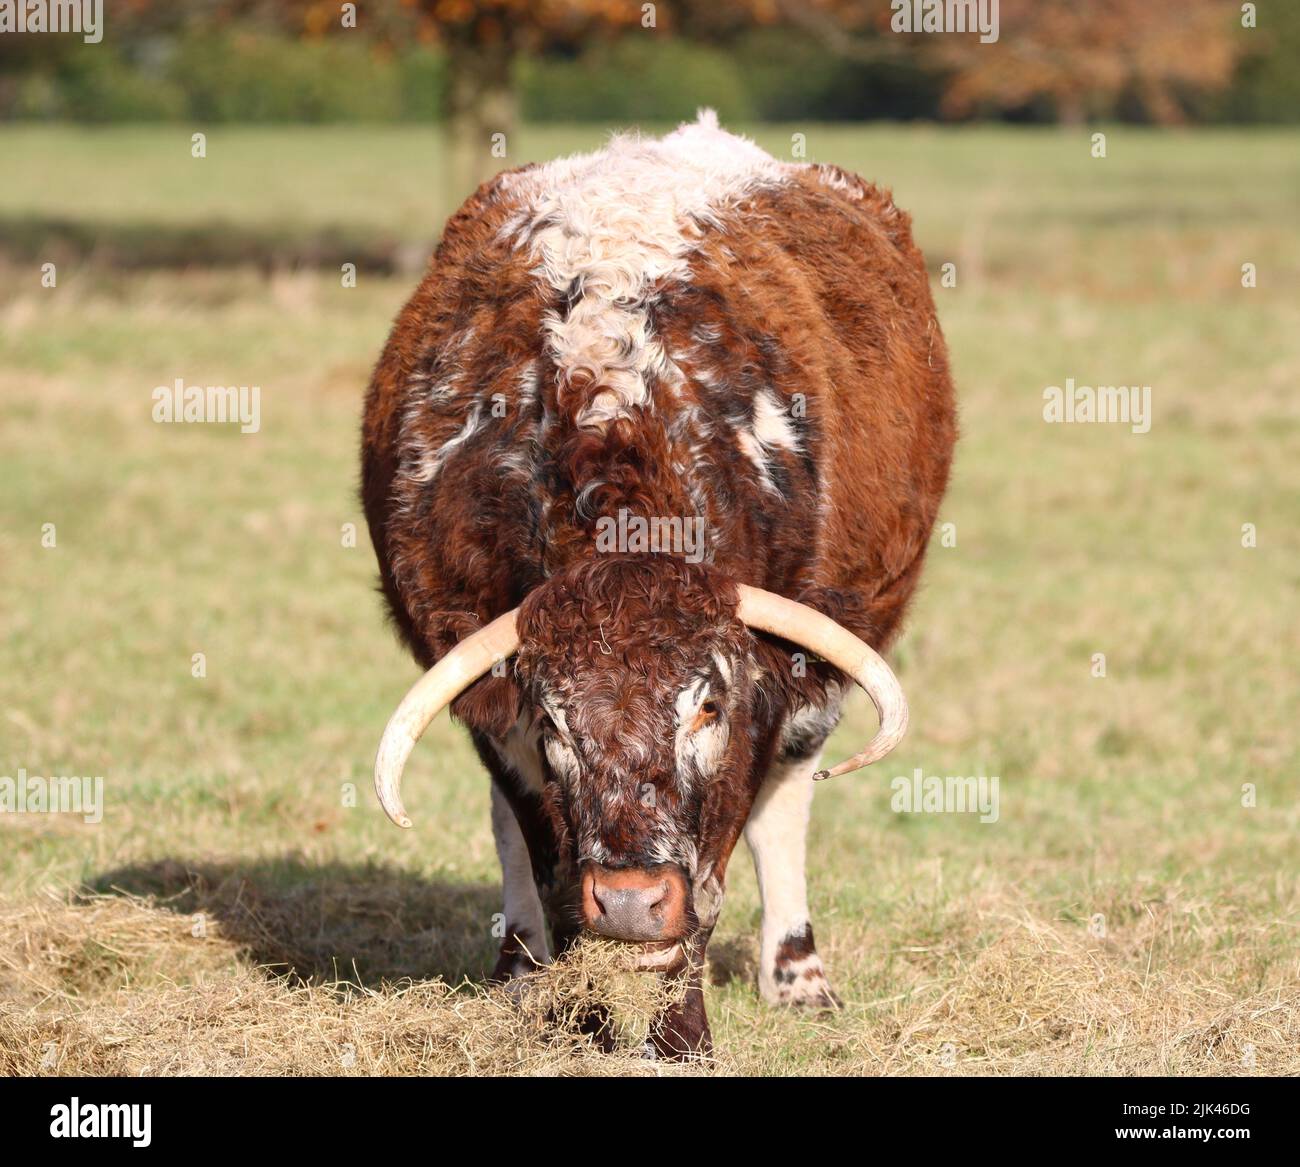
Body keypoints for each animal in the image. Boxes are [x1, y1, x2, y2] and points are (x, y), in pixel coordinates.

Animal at [361, 111, 956, 1058]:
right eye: (555, 723)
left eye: (707, 706)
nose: (633, 897)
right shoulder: (494, 704)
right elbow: (547, 862)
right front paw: (574, 1019)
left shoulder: (764, 699)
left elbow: (708, 887)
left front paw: (680, 1037)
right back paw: (518, 967)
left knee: (786, 809)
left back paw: (799, 976)